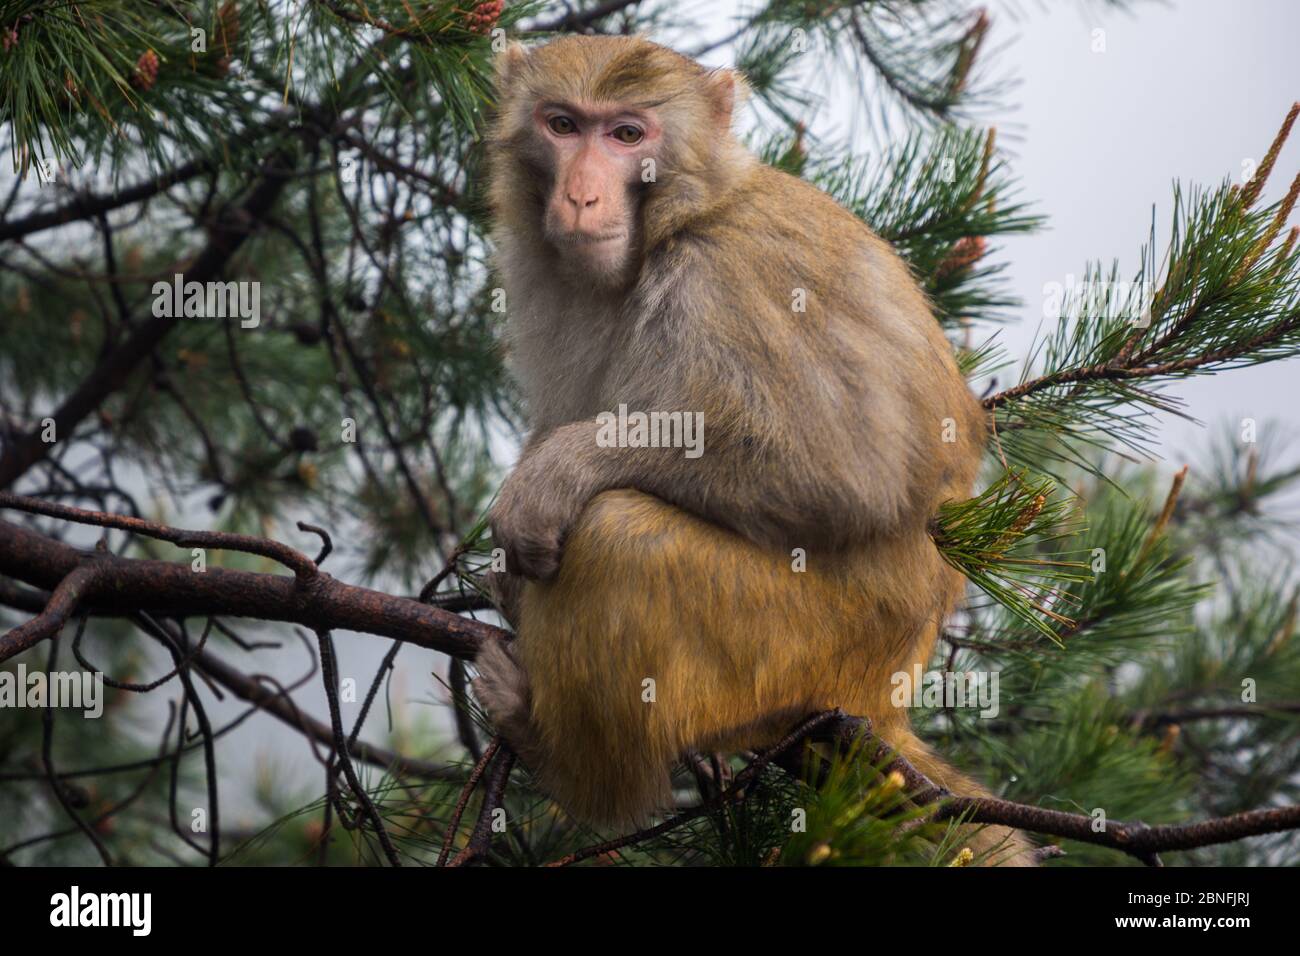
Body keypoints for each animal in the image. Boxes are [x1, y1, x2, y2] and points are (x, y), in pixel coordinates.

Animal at [472, 35, 1032, 865]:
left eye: (628, 135)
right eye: (563, 124)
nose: (580, 197)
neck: (676, 223)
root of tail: (892, 688)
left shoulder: (728, 277)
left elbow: (846, 475)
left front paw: (558, 472)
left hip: (812, 648)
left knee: (621, 539)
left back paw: (576, 770)